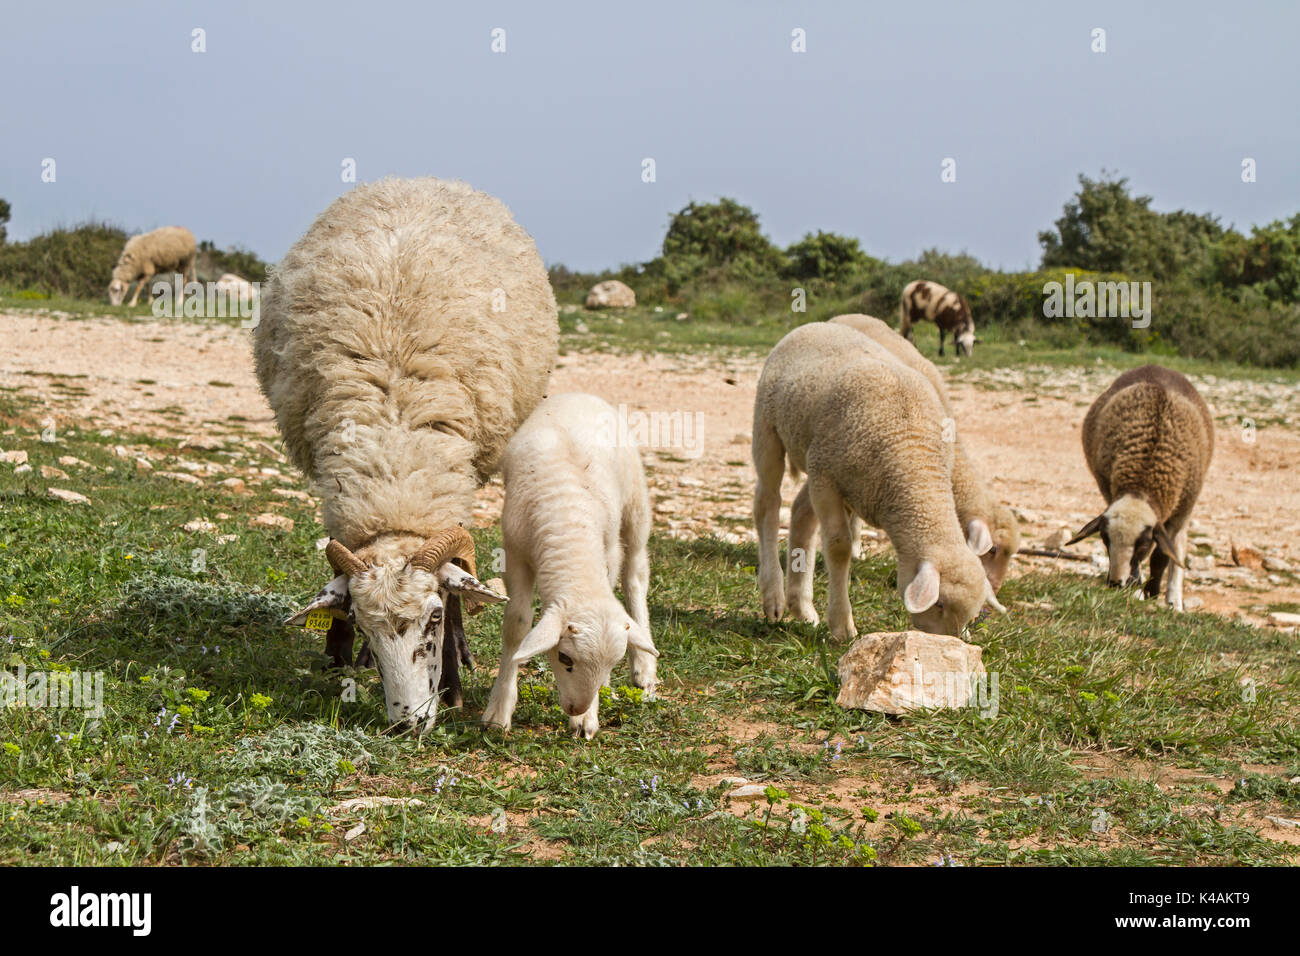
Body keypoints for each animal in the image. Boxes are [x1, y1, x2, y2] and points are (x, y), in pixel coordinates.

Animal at [254, 177, 559, 733]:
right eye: (362, 623)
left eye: (433, 616)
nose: (406, 722)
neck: (396, 464)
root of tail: (416, 180)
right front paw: (342, 647)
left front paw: (453, 685)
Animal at [482, 392, 658, 740]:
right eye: (564, 657)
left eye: (612, 663)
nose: (576, 707)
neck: (567, 520)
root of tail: (580, 394)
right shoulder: (514, 553)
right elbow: (517, 625)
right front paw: (499, 710)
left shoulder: (607, 551)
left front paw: (587, 718)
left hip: (635, 504)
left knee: (635, 577)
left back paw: (644, 667)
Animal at [753, 322, 1004, 639]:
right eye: (939, 605)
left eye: (970, 616)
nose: (946, 642)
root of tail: (816, 325)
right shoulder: (827, 479)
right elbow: (838, 548)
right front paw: (842, 625)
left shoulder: (849, 484)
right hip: (768, 427)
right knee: (768, 506)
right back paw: (773, 596)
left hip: (817, 459)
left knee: (799, 514)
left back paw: (802, 607)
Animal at [1065, 365, 1214, 610]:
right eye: (1104, 539)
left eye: (1143, 544)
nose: (1115, 583)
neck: (1144, 482)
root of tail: (1155, 366)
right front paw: (1135, 586)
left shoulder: (1180, 508)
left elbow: (1162, 555)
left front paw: (1152, 592)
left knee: (1180, 544)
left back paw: (1173, 598)